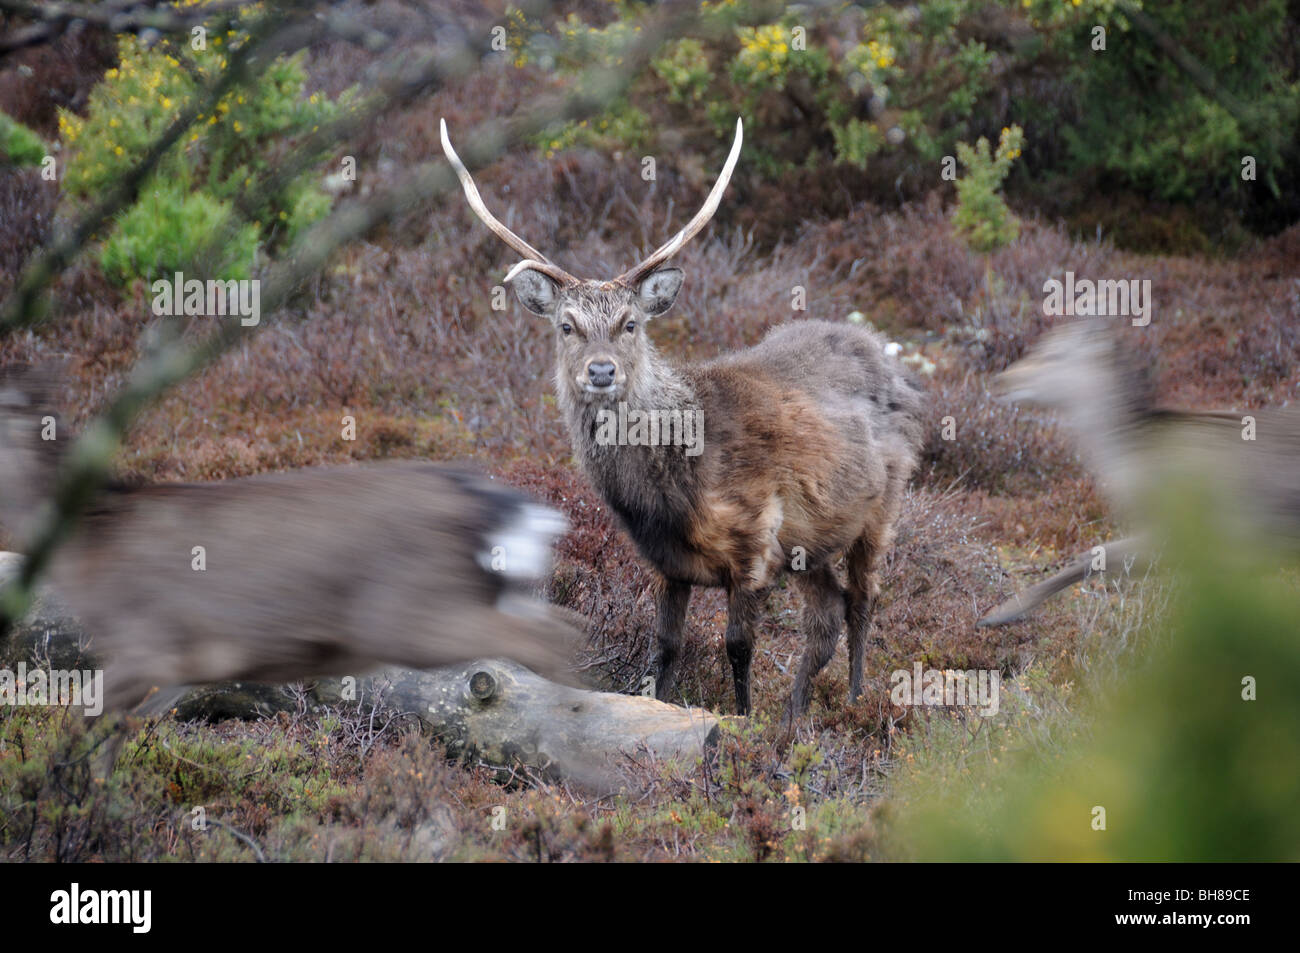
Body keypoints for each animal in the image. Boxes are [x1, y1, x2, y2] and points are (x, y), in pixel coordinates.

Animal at [0, 366, 580, 716]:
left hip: (408, 613)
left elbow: (80, 726)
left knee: (544, 640)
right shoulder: (182, 668)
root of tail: (491, 501)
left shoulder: (149, 641)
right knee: (565, 624)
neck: (91, 546)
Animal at [441, 118, 924, 719]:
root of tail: (887, 355)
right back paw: (797, 716)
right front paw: (665, 708)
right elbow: (665, 648)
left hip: (883, 506)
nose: (601, 371)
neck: (675, 489)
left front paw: (745, 721)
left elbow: (738, 647)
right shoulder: (667, 563)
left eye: (630, 323)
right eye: (567, 325)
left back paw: (856, 699)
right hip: (812, 541)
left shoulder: (756, 542)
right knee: (826, 613)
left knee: (861, 600)